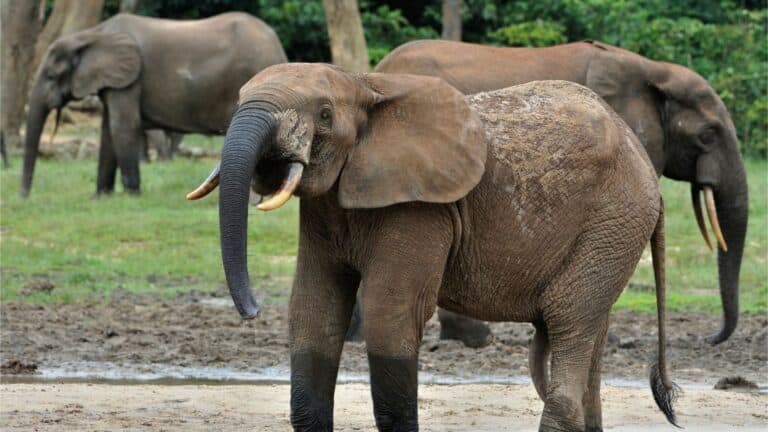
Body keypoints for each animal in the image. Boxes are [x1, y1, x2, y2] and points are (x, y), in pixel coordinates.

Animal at [21, 12, 287, 197]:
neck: (93, 35)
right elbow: (108, 130)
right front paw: (100, 197)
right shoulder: (115, 81)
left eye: (51, 76)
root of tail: (278, 46)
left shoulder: (130, 80)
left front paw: (132, 195)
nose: (24, 197)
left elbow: (122, 126)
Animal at [187, 64, 677, 431]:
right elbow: (314, 308)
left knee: (569, 320)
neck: (366, 84)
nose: (251, 308)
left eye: (324, 114)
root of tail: (644, 162)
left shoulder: (421, 207)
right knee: (588, 330)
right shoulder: (326, 208)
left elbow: (390, 312)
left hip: (612, 222)